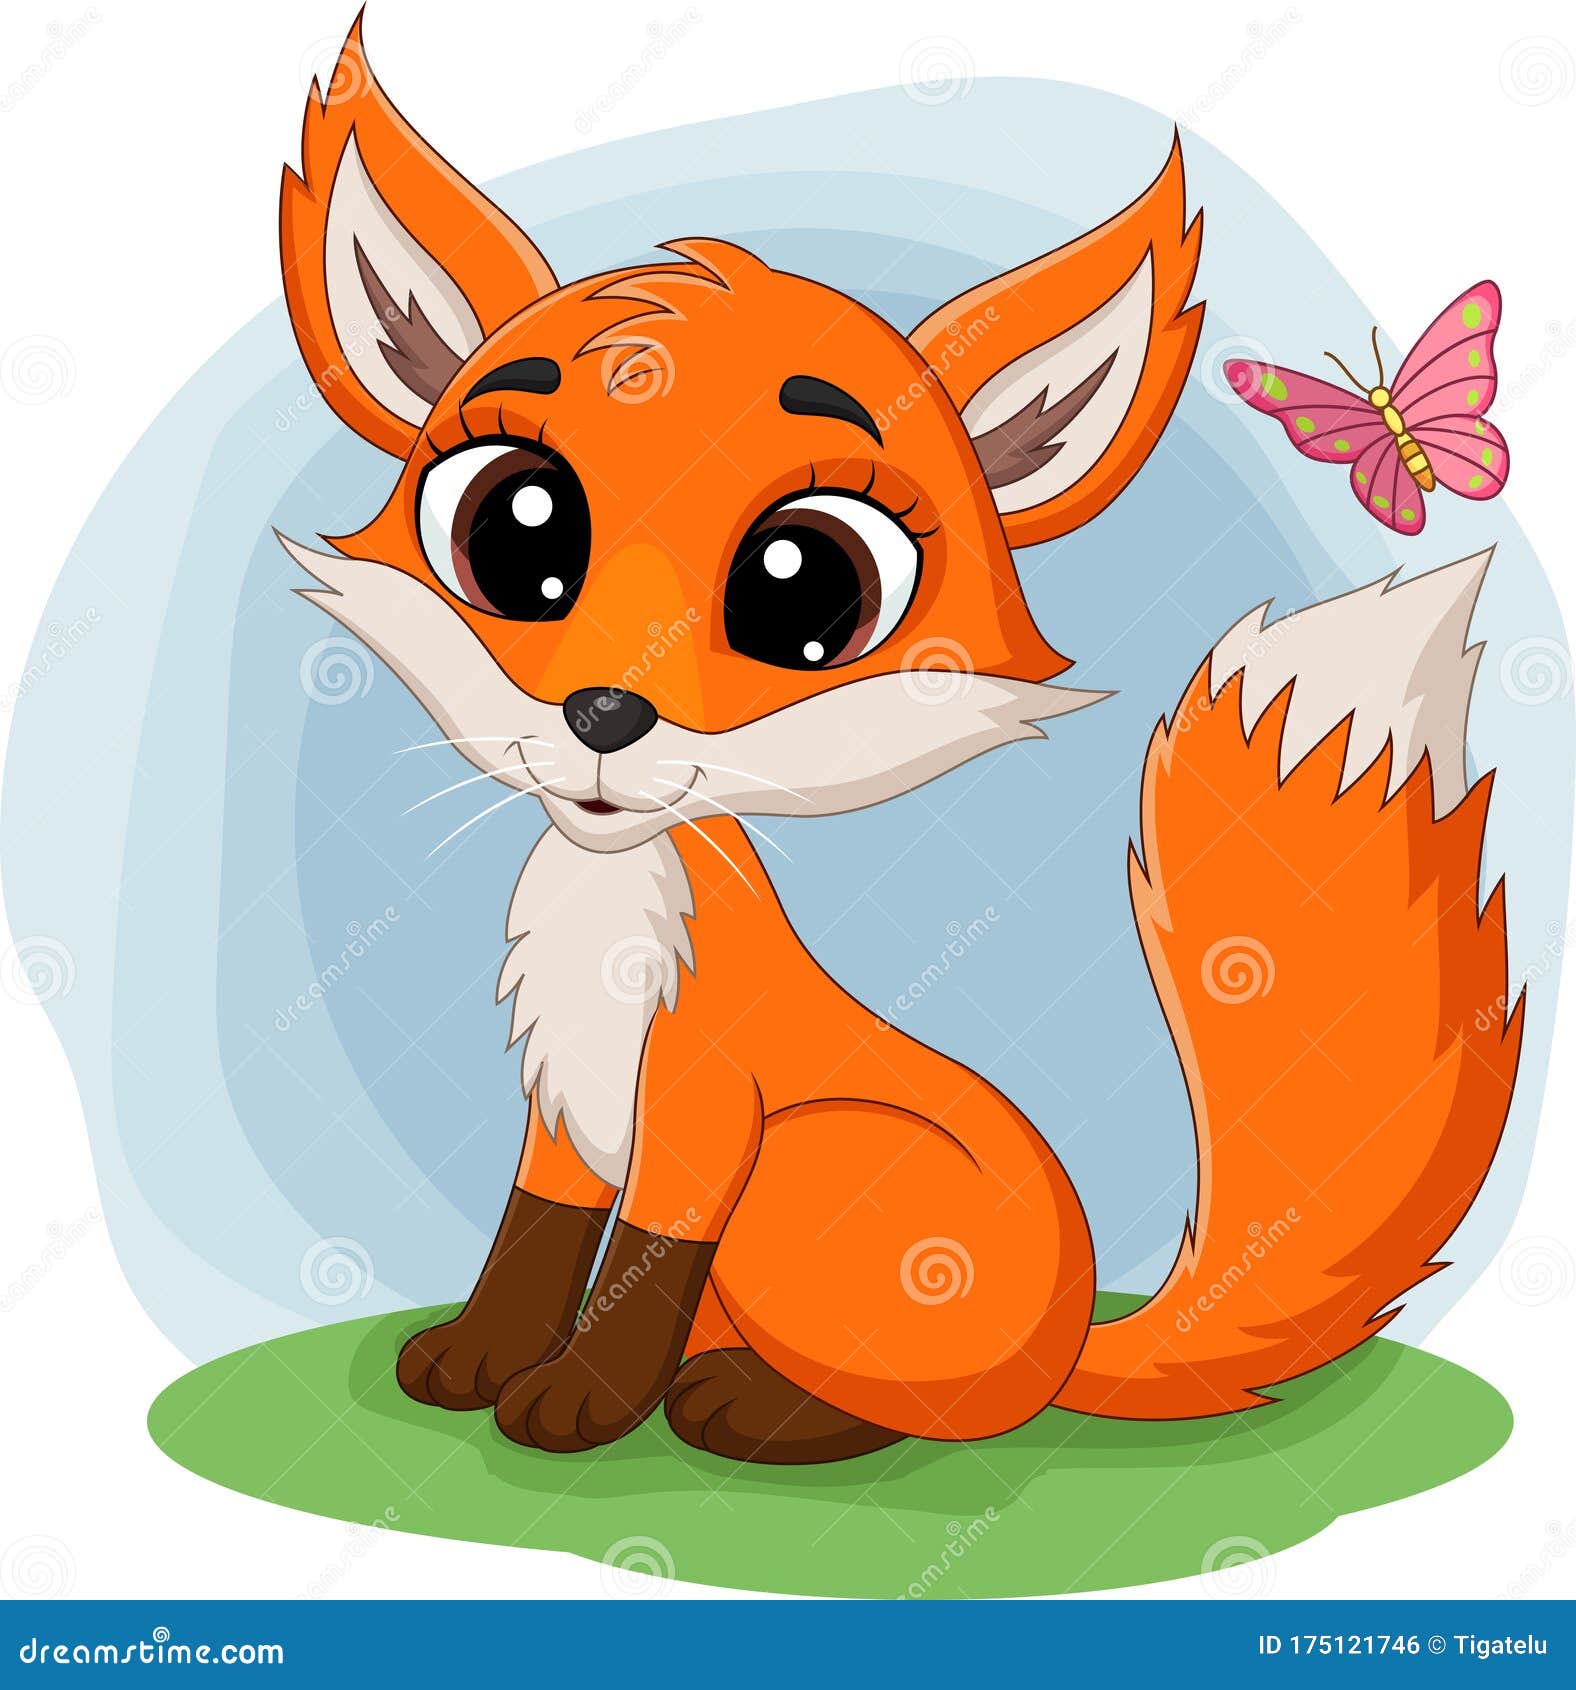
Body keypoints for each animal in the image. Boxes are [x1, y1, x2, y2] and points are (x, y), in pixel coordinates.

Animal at [277, 19, 1523, 1464]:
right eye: (517, 531)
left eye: (804, 587)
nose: (604, 714)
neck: (612, 919)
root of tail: (1070, 1349)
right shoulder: (561, 1113)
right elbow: (537, 1236)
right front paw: (479, 1358)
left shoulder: (707, 1113)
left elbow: (645, 1257)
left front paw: (582, 1401)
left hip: (821, 1160)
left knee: (921, 1410)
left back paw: (750, 1407)